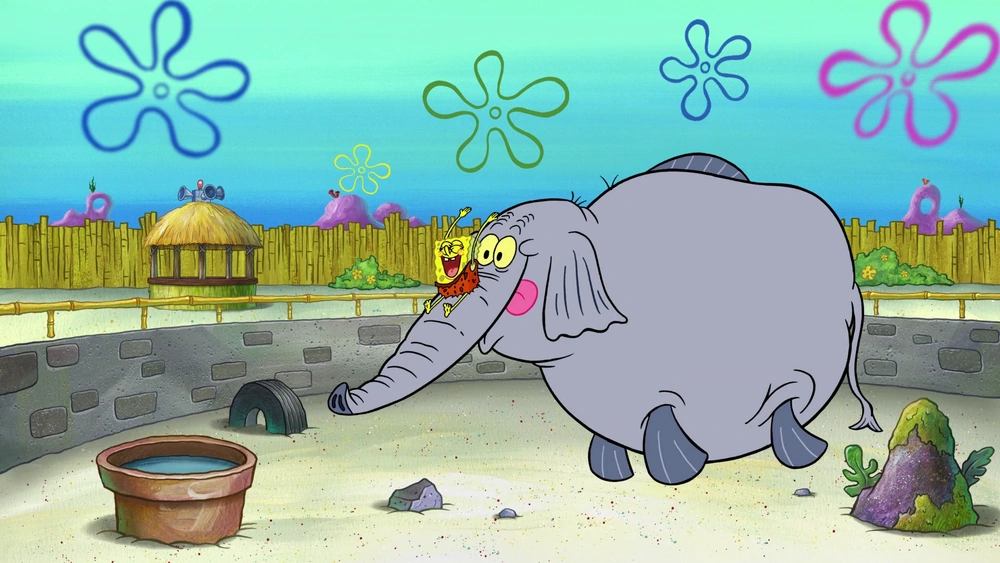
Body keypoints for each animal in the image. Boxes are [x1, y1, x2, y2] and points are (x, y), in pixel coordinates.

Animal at [328, 152, 883, 485]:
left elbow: (666, 427)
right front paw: (612, 472)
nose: (338, 394)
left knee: (789, 402)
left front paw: (676, 472)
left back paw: (804, 450)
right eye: (477, 251)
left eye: (500, 255)